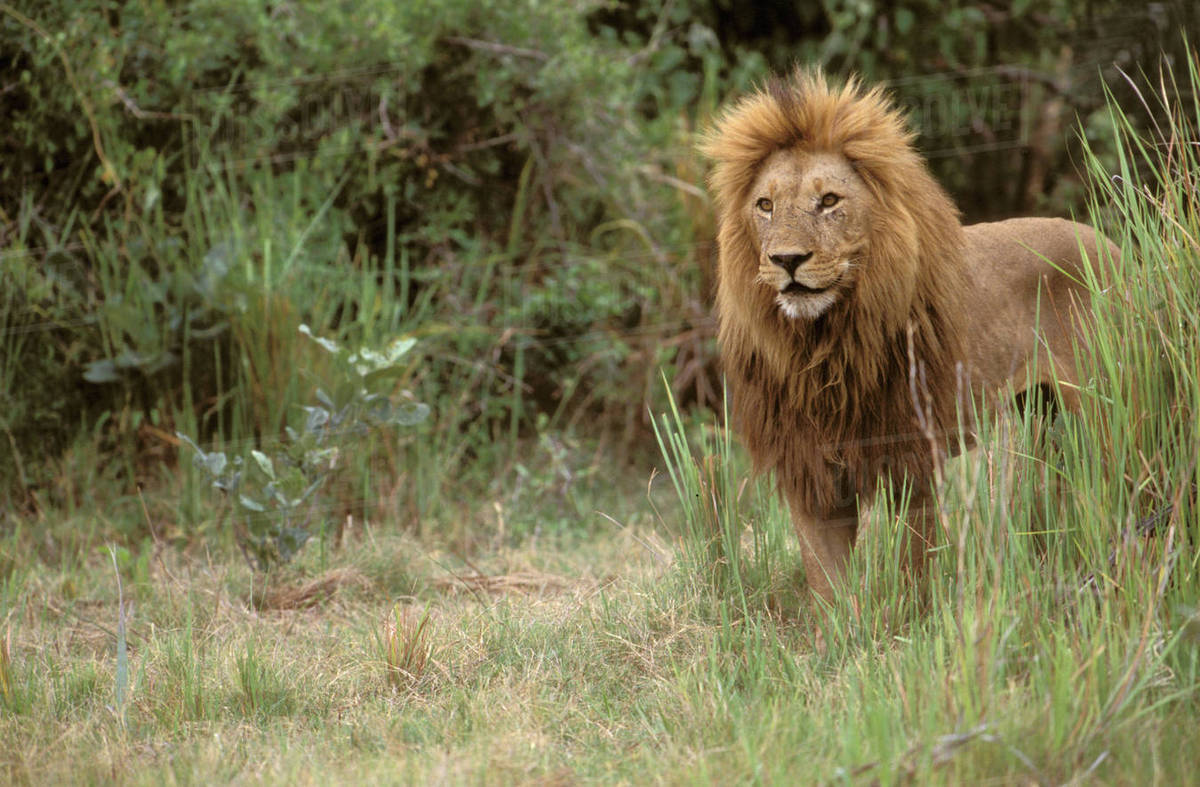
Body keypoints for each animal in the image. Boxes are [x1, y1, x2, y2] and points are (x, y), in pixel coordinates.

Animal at [699, 69, 1114, 602]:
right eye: (765, 206)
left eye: (829, 201)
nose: (786, 260)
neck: (823, 348)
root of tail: (1108, 243)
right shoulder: (809, 471)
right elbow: (829, 587)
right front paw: (844, 626)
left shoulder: (911, 457)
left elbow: (911, 568)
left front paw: (909, 618)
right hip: (1041, 413)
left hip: (1103, 407)